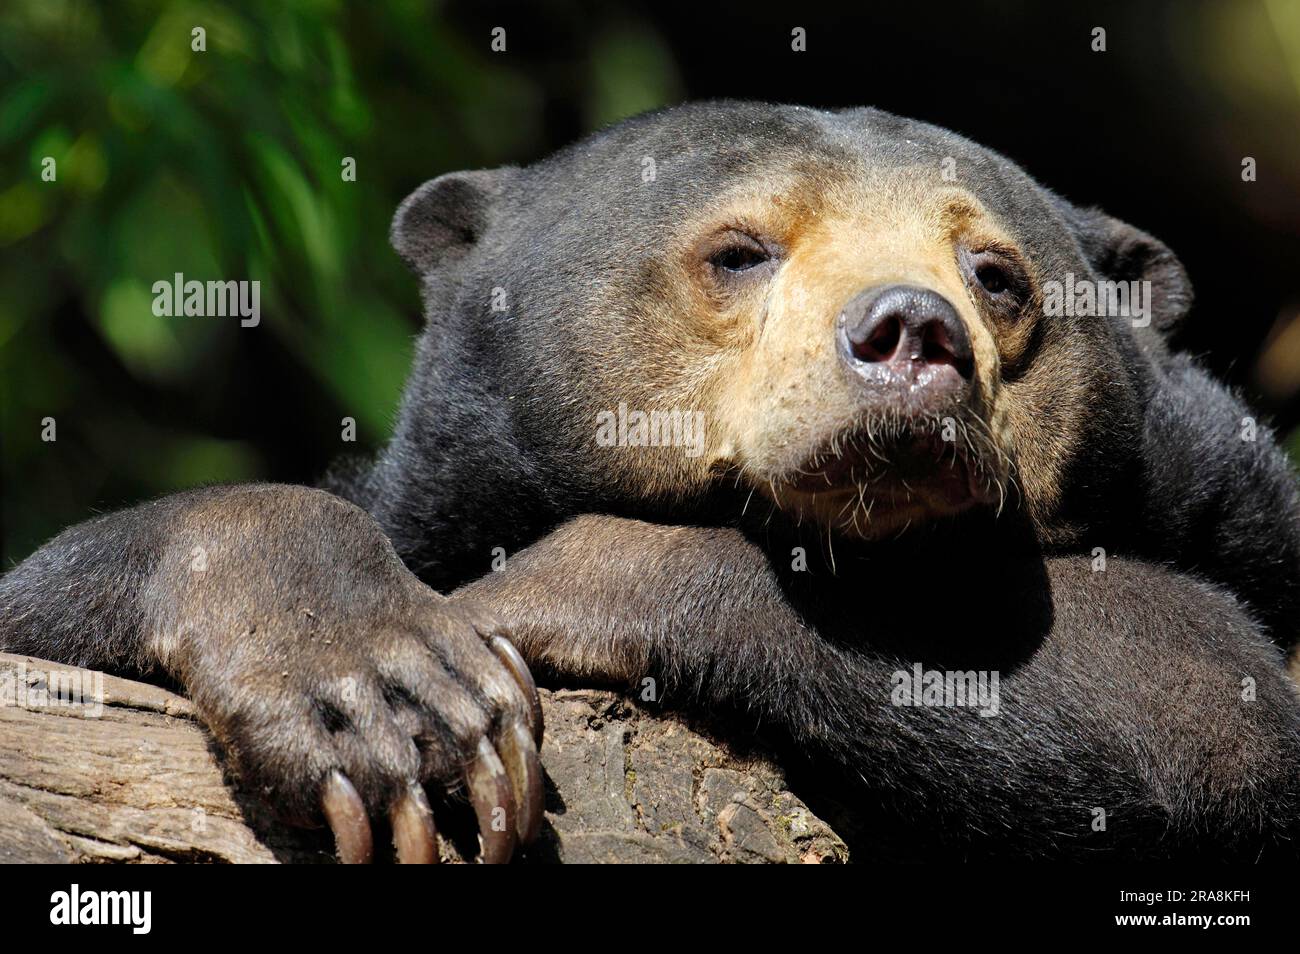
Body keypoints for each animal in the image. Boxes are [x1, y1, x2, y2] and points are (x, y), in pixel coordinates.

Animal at [2, 101, 1299, 862]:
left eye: (996, 277)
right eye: (739, 252)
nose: (911, 336)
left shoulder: (1231, 513)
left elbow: (1199, 702)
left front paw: (516, 604)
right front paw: (380, 685)